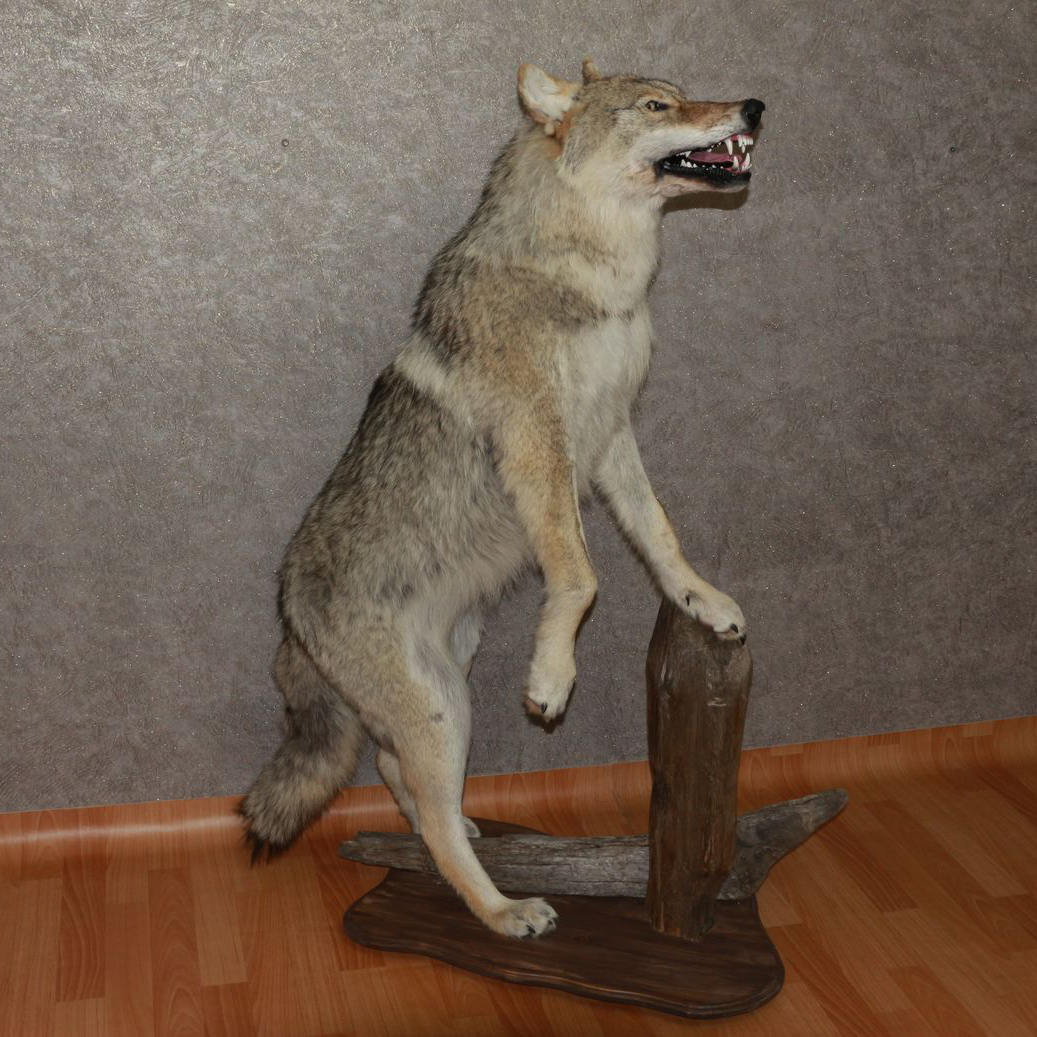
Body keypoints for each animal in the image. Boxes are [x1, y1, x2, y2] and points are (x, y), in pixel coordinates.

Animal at [240, 59, 764, 938]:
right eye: (658, 104)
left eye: (684, 91)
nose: (755, 106)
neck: (593, 276)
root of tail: (288, 615)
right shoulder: (537, 442)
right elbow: (580, 575)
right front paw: (552, 679)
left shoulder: (610, 433)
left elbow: (658, 534)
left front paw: (702, 600)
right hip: (441, 712)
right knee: (435, 825)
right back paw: (503, 910)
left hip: (449, 691)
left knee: (403, 779)